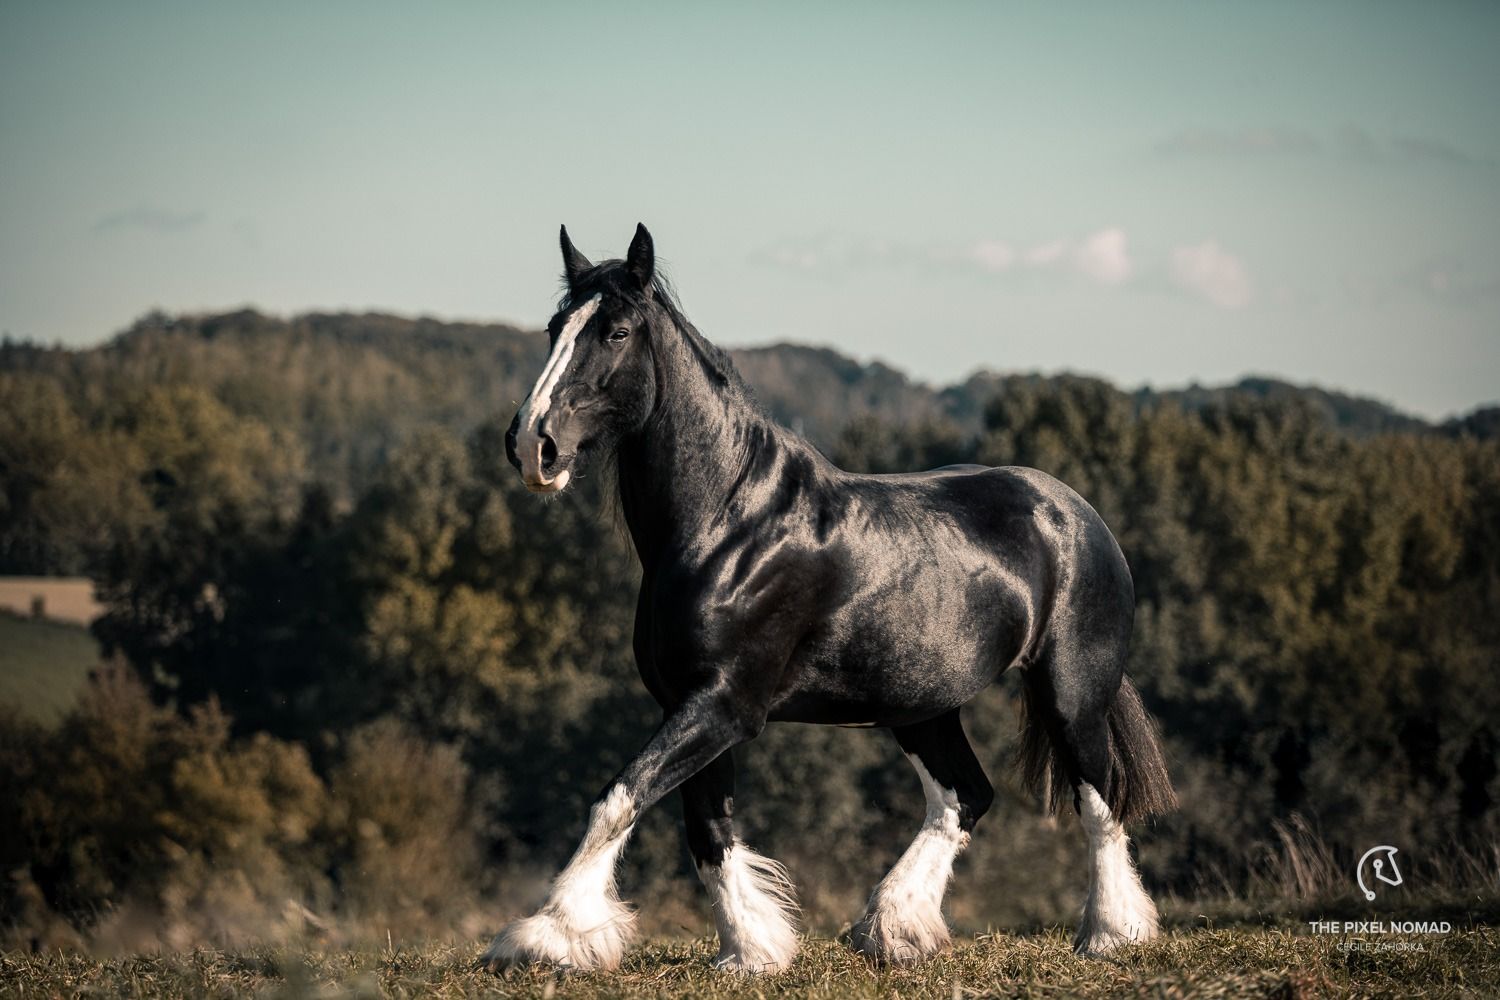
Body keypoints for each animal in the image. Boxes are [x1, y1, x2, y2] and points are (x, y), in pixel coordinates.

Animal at [484, 224, 1176, 973]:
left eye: (615, 331)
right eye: (554, 327)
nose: (532, 446)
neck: (726, 524)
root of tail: (1077, 513)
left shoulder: (725, 706)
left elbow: (618, 798)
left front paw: (549, 935)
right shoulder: (687, 704)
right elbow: (707, 828)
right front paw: (751, 949)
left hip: (1070, 691)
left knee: (1097, 801)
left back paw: (1108, 934)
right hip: (923, 706)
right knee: (964, 798)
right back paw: (895, 928)